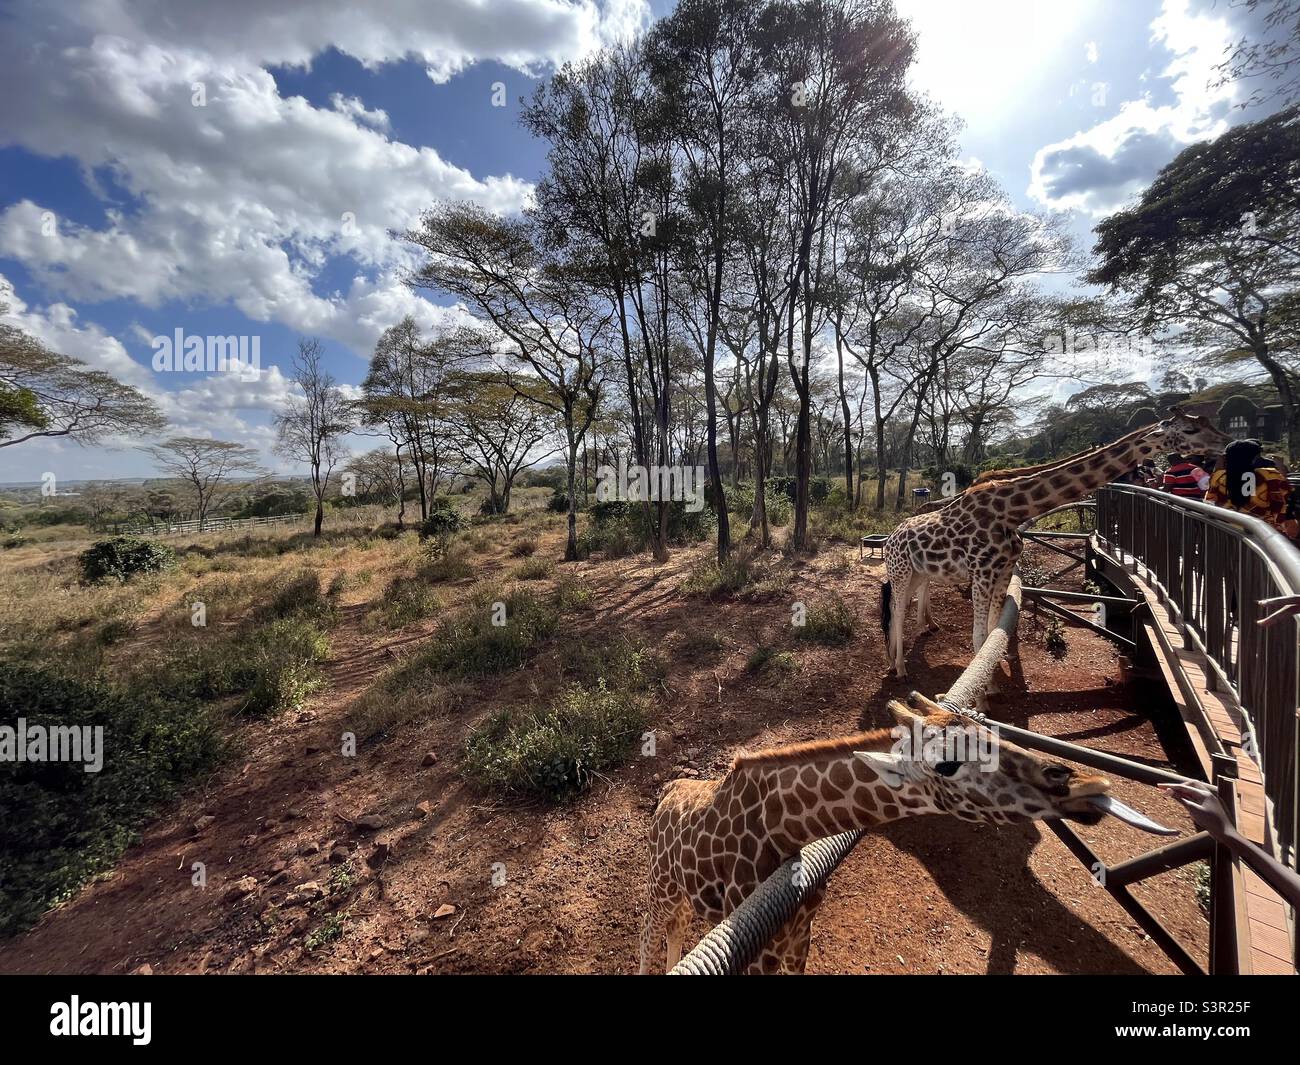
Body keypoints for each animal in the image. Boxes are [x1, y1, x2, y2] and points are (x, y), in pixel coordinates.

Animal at [638, 691, 1174, 974]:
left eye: (991, 731)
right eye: (947, 763)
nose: (1086, 785)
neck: (784, 827)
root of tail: (666, 794)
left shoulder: (796, 934)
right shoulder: (760, 950)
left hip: (686, 902)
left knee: (673, 933)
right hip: (662, 889)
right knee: (651, 934)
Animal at [880, 408, 1230, 678]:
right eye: (1190, 429)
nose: (1226, 443)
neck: (1012, 510)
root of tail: (890, 539)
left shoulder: (1002, 571)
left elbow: (992, 634)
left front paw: (992, 683)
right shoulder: (981, 573)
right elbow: (979, 637)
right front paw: (983, 696)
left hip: (918, 573)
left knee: (902, 606)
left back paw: (901, 655)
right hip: (902, 572)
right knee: (896, 609)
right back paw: (900, 668)